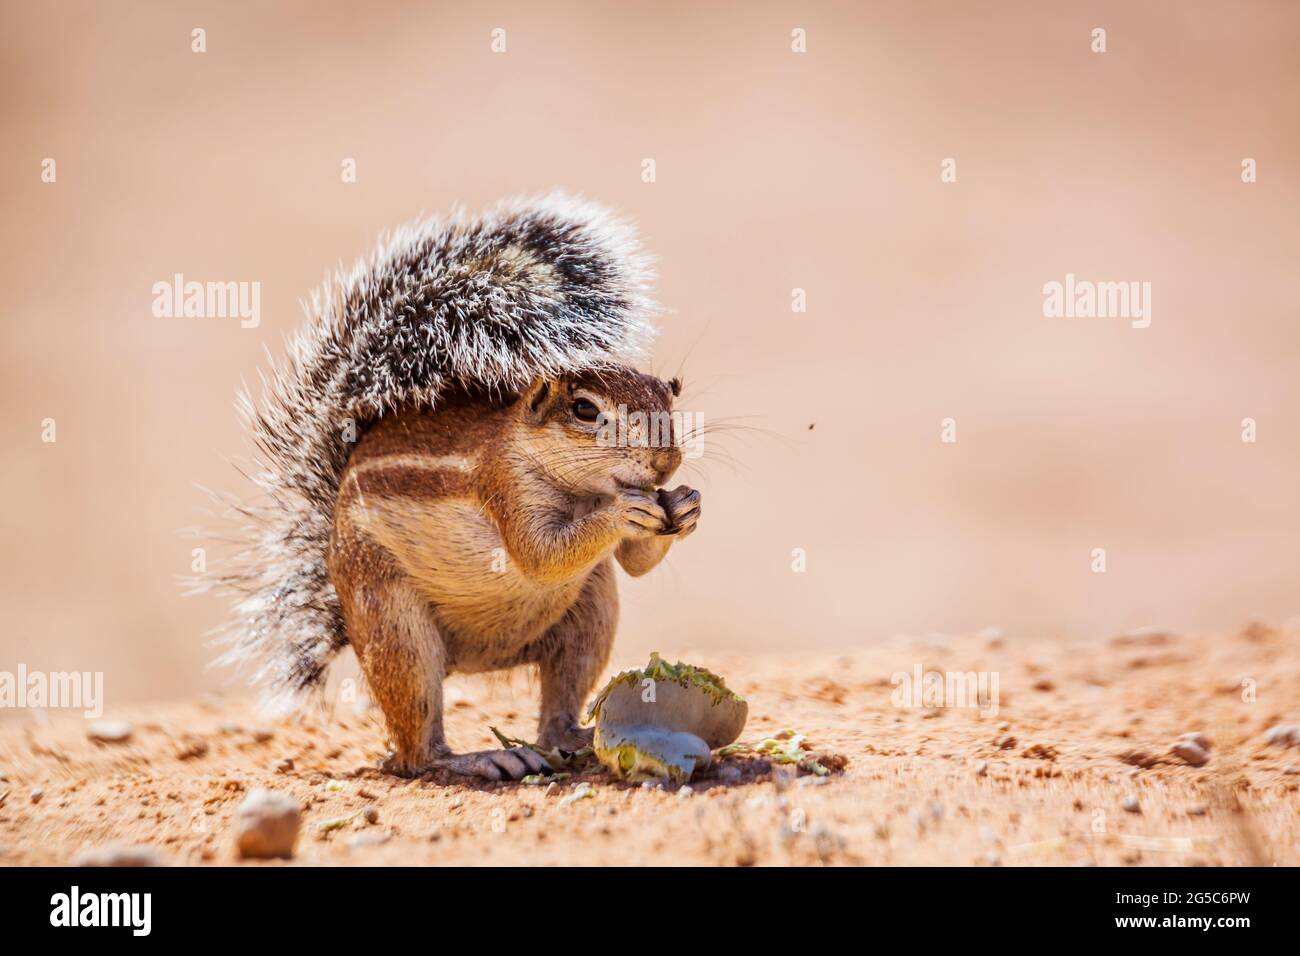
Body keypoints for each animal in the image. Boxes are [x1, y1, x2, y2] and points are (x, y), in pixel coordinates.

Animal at [203, 194, 699, 779]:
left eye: (670, 394)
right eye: (583, 409)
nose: (666, 463)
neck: (581, 489)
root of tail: (477, 659)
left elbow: (633, 563)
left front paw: (686, 506)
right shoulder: (503, 488)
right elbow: (539, 554)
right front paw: (623, 512)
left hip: (590, 615)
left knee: (558, 700)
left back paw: (571, 736)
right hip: (395, 627)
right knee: (416, 750)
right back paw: (479, 758)